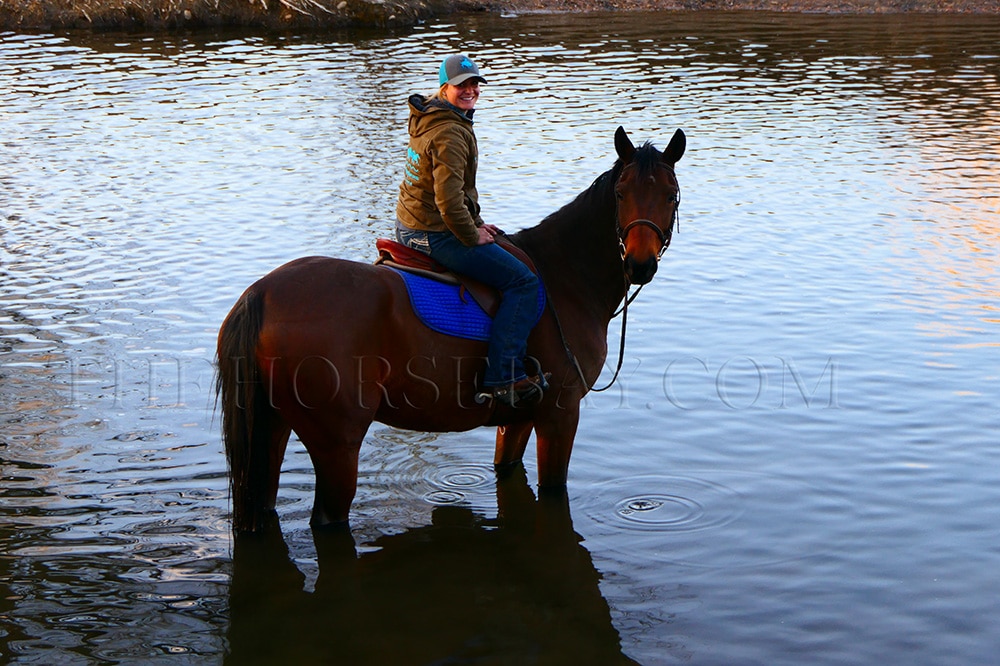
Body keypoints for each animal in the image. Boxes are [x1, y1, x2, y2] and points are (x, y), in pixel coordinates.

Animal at [216, 125, 686, 533]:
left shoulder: (519, 417)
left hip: (272, 428)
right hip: (337, 443)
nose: (639, 264)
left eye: (669, 195)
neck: (563, 278)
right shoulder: (560, 414)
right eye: (621, 194)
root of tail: (262, 292)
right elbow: (554, 491)